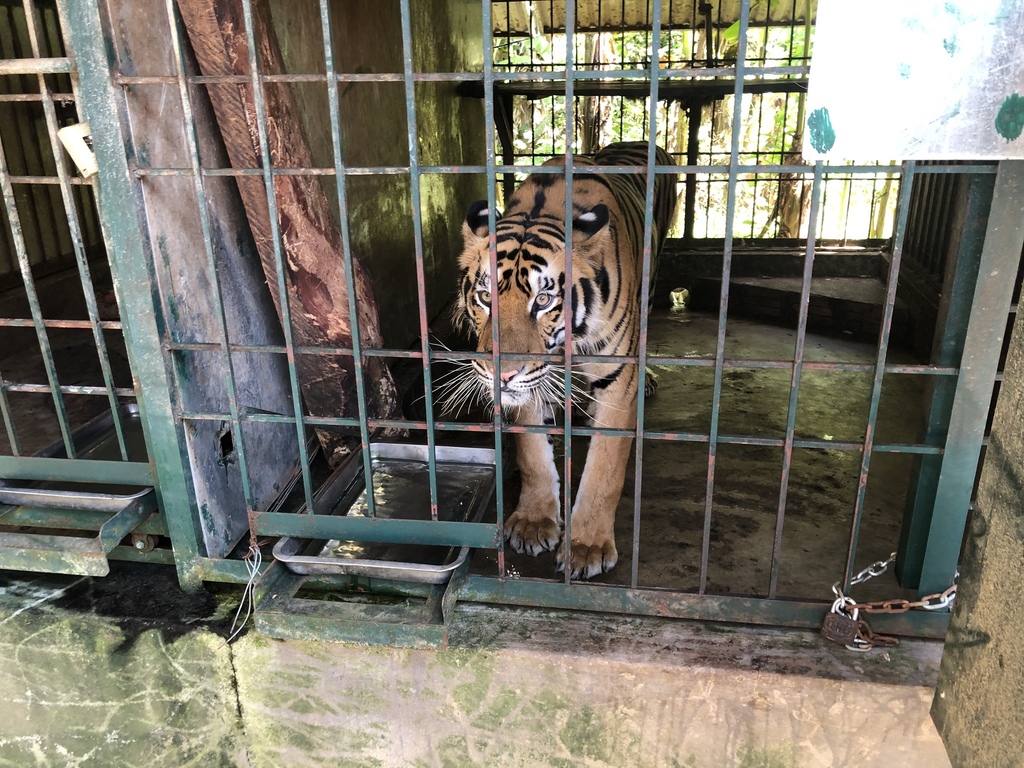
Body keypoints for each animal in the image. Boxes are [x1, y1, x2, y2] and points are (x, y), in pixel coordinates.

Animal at [452, 141, 678, 579]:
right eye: (485, 297)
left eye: (543, 300)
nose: (501, 374)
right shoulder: (529, 386)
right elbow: (532, 456)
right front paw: (534, 523)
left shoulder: (617, 378)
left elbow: (604, 470)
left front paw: (587, 547)